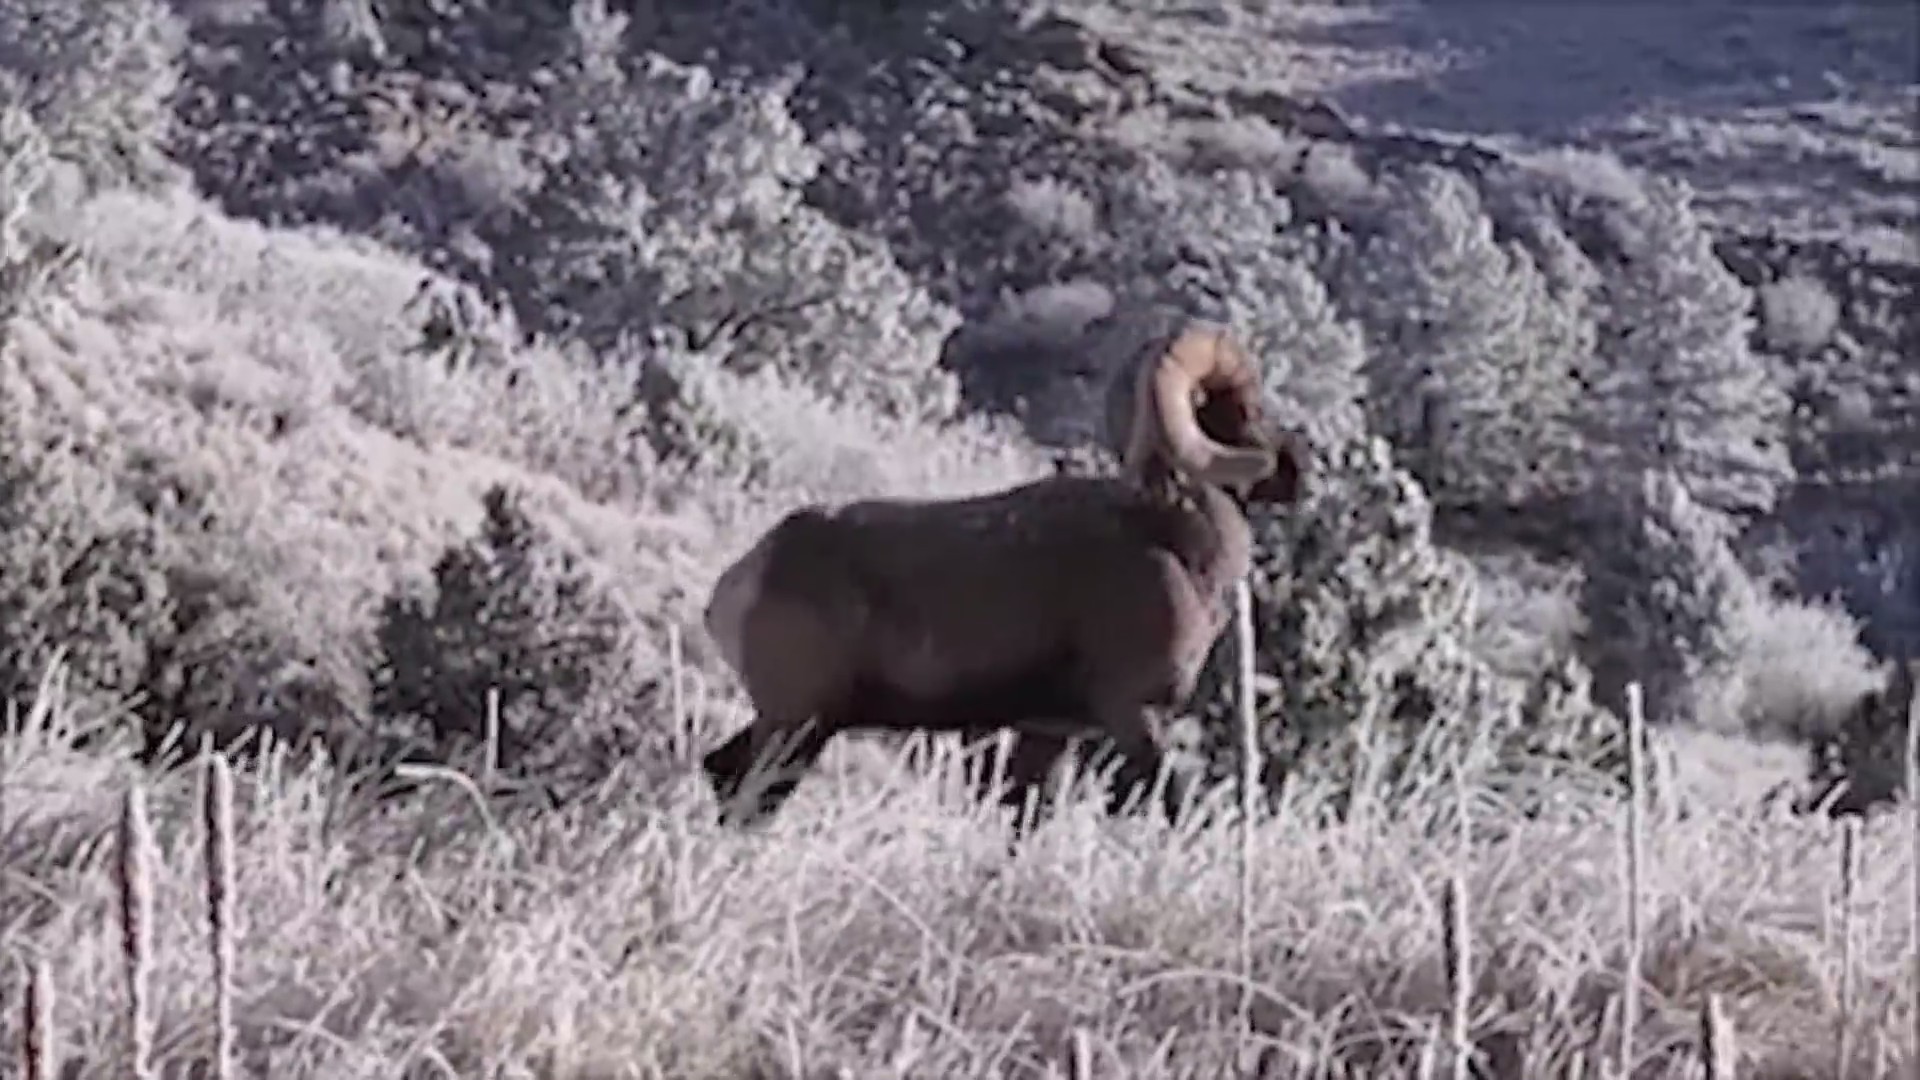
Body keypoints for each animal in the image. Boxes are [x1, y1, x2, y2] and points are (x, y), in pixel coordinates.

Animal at [697, 318, 1308, 830]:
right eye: (1246, 407)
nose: (1296, 466)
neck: (1171, 539)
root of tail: (743, 578)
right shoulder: (1135, 718)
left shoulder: (1046, 738)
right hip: (796, 729)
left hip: (800, 727)